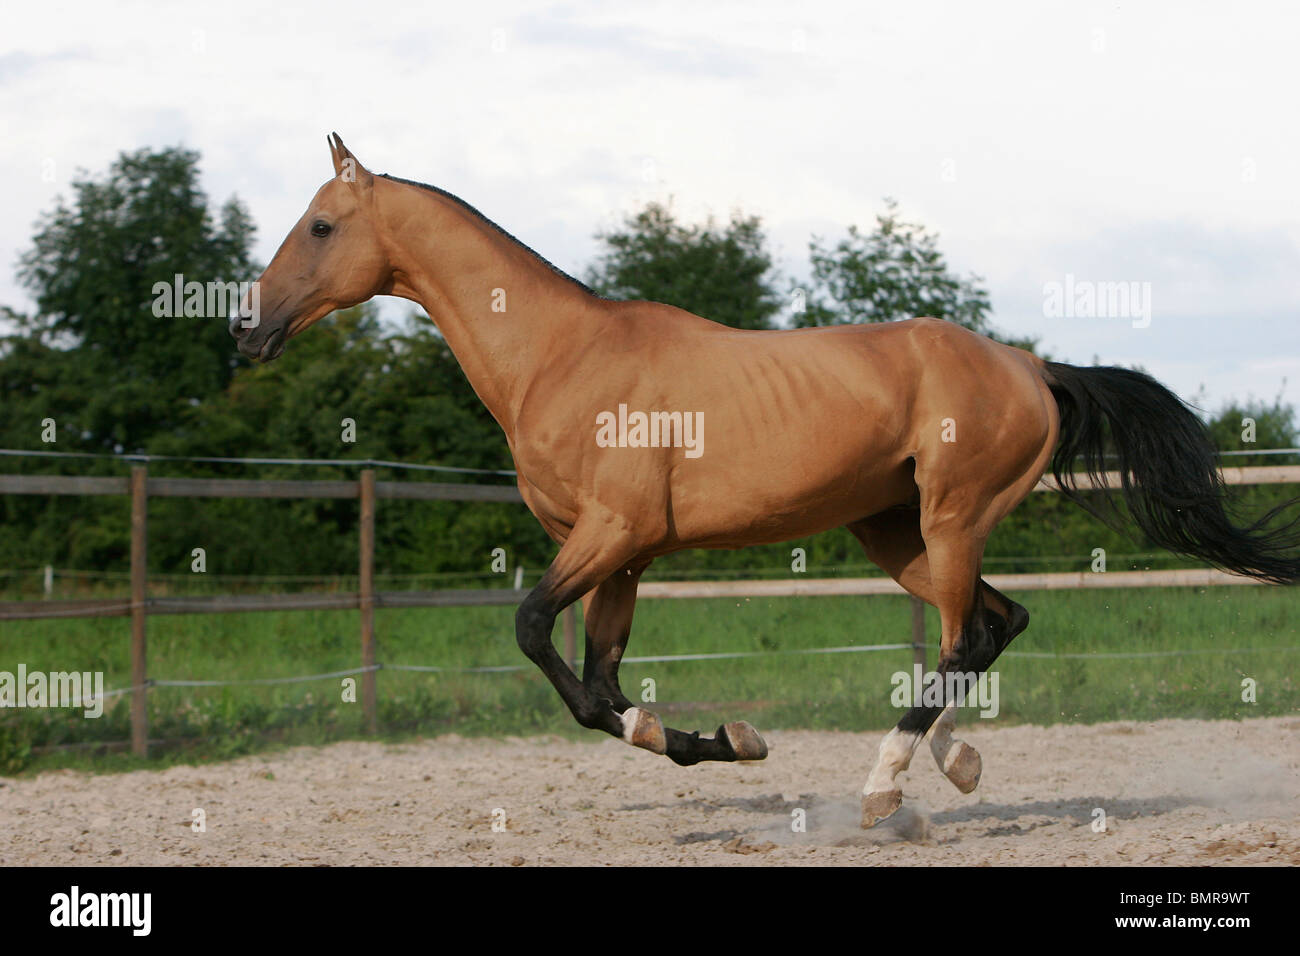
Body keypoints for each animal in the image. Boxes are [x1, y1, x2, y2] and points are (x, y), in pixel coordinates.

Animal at [231, 134, 1300, 828]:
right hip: (895, 532)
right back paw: (952, 767)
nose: (246, 331)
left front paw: (720, 738)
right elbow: (598, 683)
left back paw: (885, 788)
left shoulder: (611, 535)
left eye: (321, 226)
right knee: (995, 625)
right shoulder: (623, 555)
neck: (560, 357)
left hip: (952, 517)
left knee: (964, 637)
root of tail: (1031, 367)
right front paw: (723, 740)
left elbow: (537, 634)